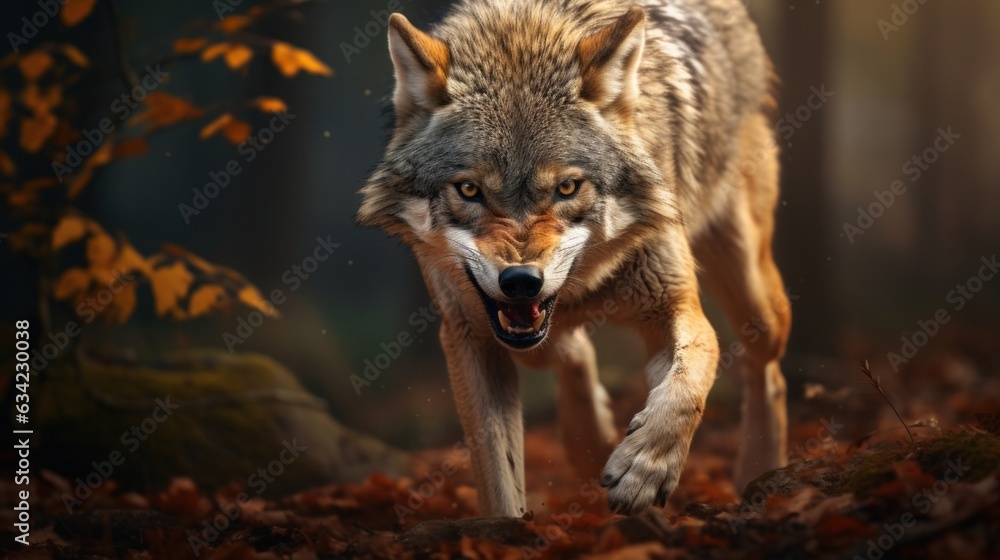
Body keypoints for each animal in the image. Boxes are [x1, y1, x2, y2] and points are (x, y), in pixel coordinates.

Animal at [358, 0, 791, 517]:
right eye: (468, 190)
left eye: (567, 187)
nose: (521, 280)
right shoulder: (469, 337)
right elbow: (498, 477)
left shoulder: (673, 306)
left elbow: (692, 375)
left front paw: (644, 467)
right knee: (567, 350)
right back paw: (592, 440)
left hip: (751, 293)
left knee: (767, 363)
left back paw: (762, 469)